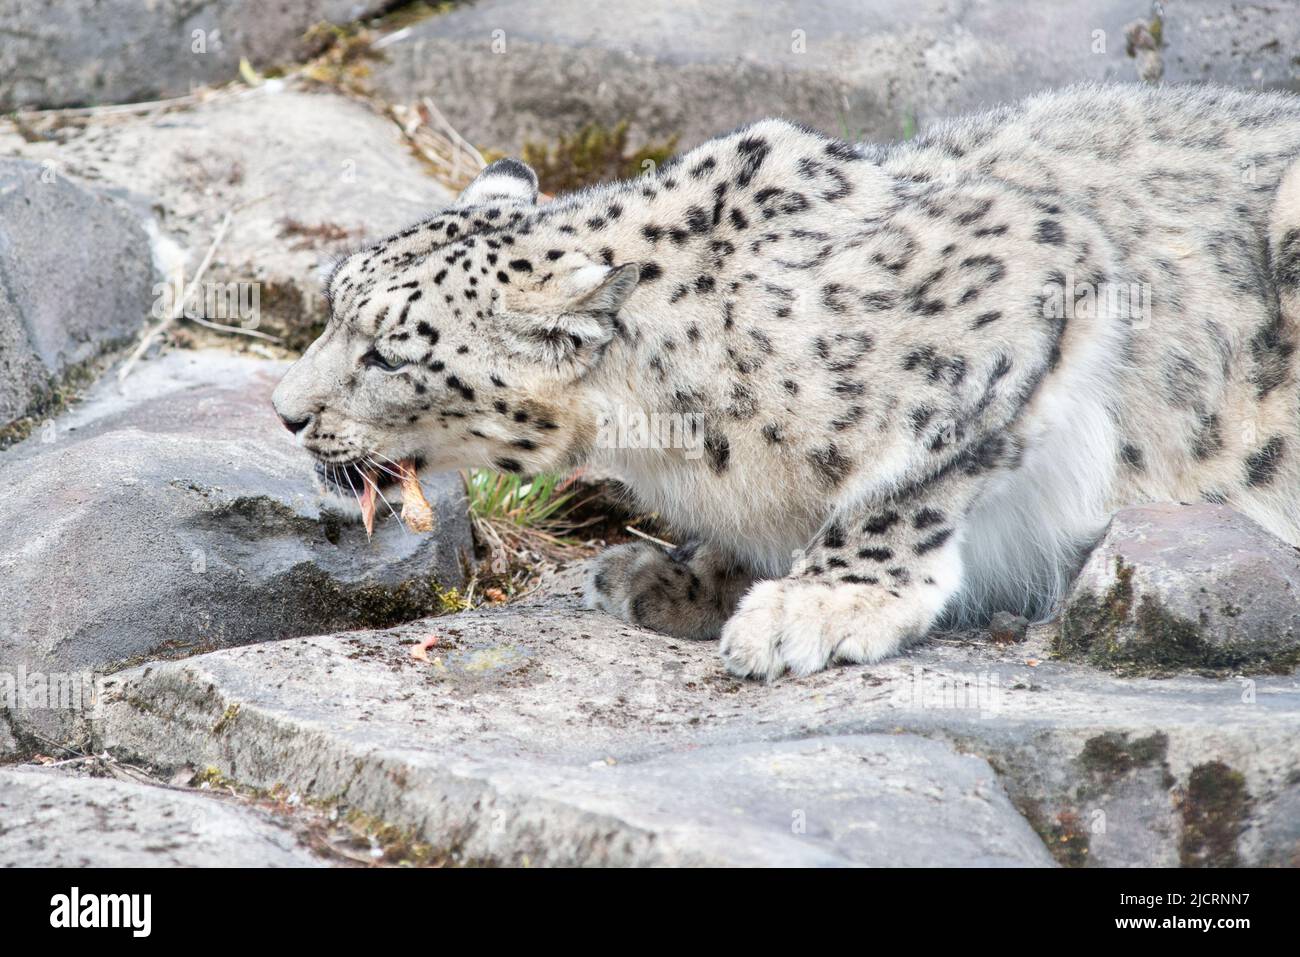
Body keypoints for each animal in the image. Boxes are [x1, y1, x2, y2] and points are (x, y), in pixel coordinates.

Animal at [272, 82, 1300, 680]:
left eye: (389, 352)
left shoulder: (1026, 264)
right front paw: (675, 575)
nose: (283, 413)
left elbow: (908, 478)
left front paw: (818, 602)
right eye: (333, 302)